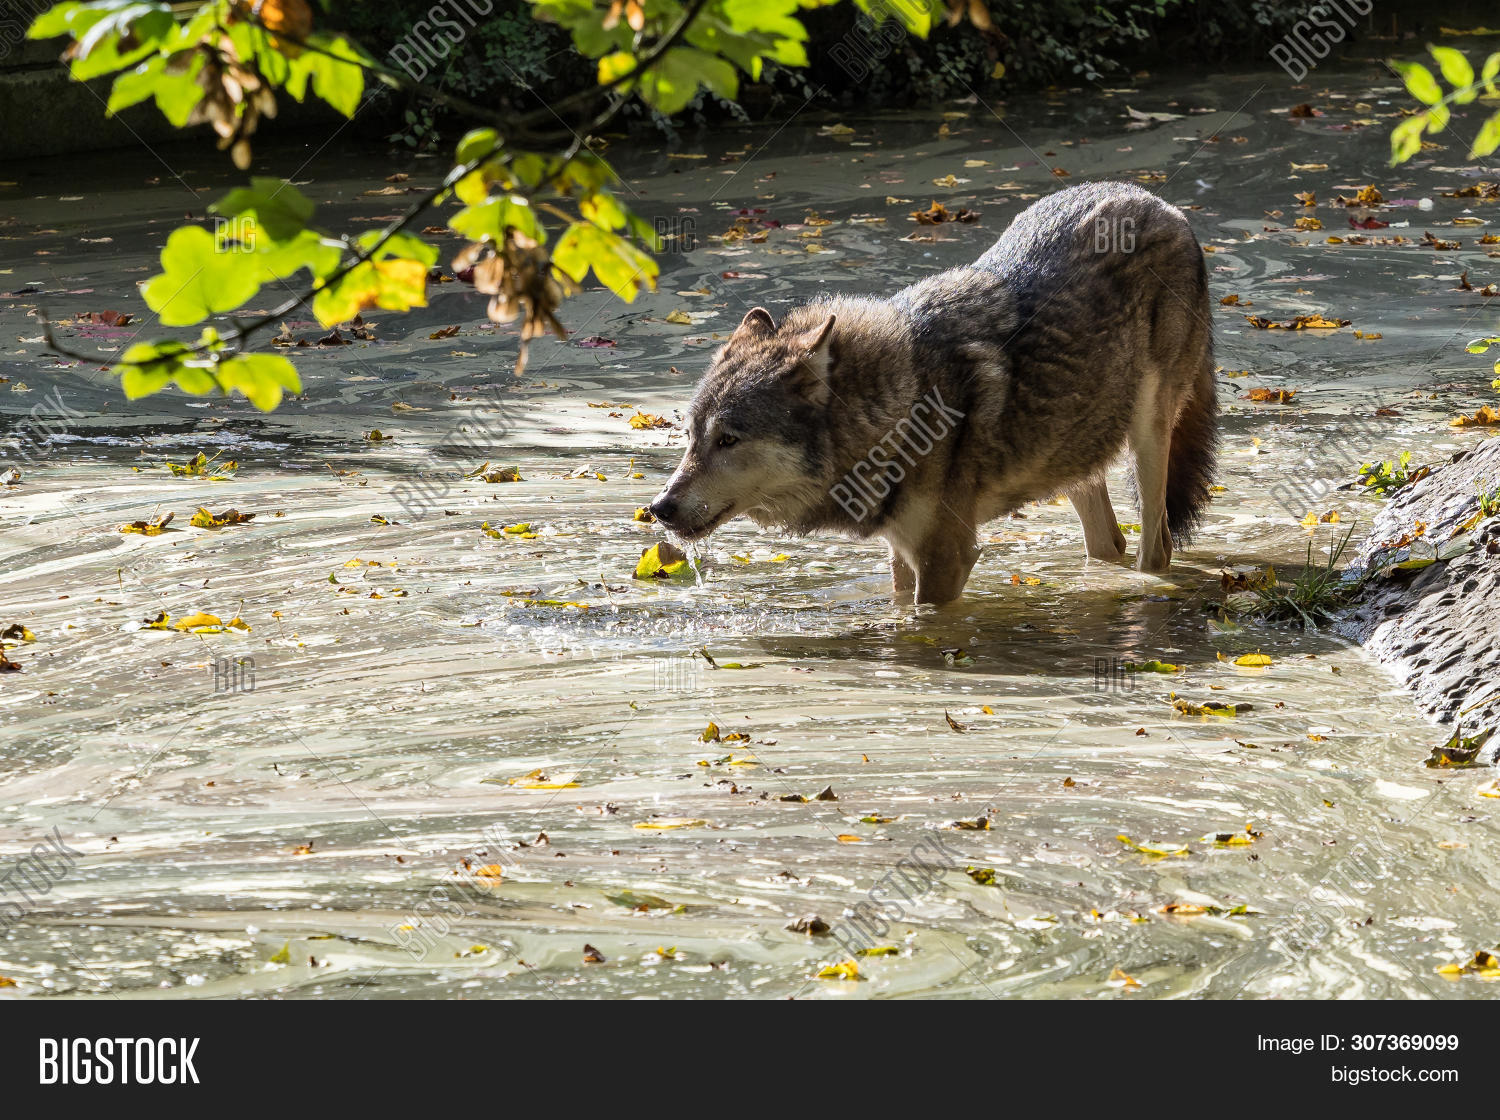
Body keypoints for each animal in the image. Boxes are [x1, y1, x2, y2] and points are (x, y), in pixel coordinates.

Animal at [648, 181, 1217, 604]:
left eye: (728, 440)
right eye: (692, 437)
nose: (659, 508)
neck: (899, 406)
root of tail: (1165, 205)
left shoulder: (946, 556)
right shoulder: (901, 552)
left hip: (1148, 441)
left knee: (1156, 547)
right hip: (1075, 447)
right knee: (1108, 544)